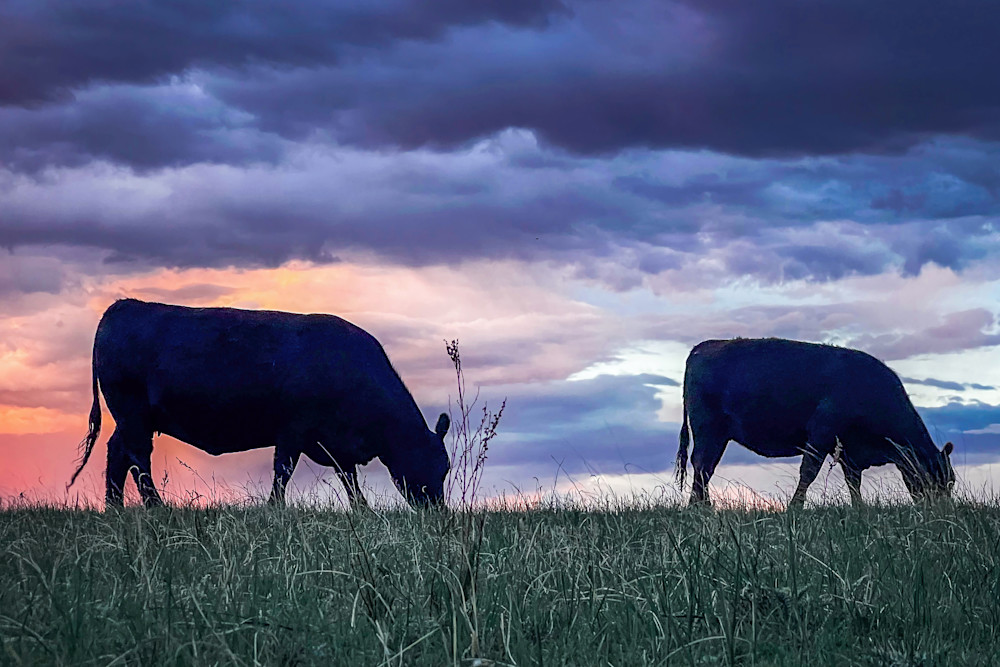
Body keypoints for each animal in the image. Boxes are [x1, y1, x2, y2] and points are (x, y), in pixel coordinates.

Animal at [69, 299, 451, 508]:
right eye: (436, 466)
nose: (437, 510)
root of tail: (123, 305)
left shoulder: (331, 441)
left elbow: (348, 478)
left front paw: (362, 510)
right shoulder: (295, 428)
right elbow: (283, 470)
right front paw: (275, 508)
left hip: (132, 417)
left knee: (117, 454)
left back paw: (115, 508)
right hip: (132, 412)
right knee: (137, 458)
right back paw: (156, 507)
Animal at [675, 338, 955, 508]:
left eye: (950, 481)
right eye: (935, 477)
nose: (942, 510)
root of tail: (705, 345)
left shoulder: (850, 451)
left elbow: (853, 482)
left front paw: (859, 508)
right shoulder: (821, 435)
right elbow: (808, 473)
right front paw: (794, 508)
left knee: (705, 469)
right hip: (709, 431)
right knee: (702, 466)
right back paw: (700, 507)